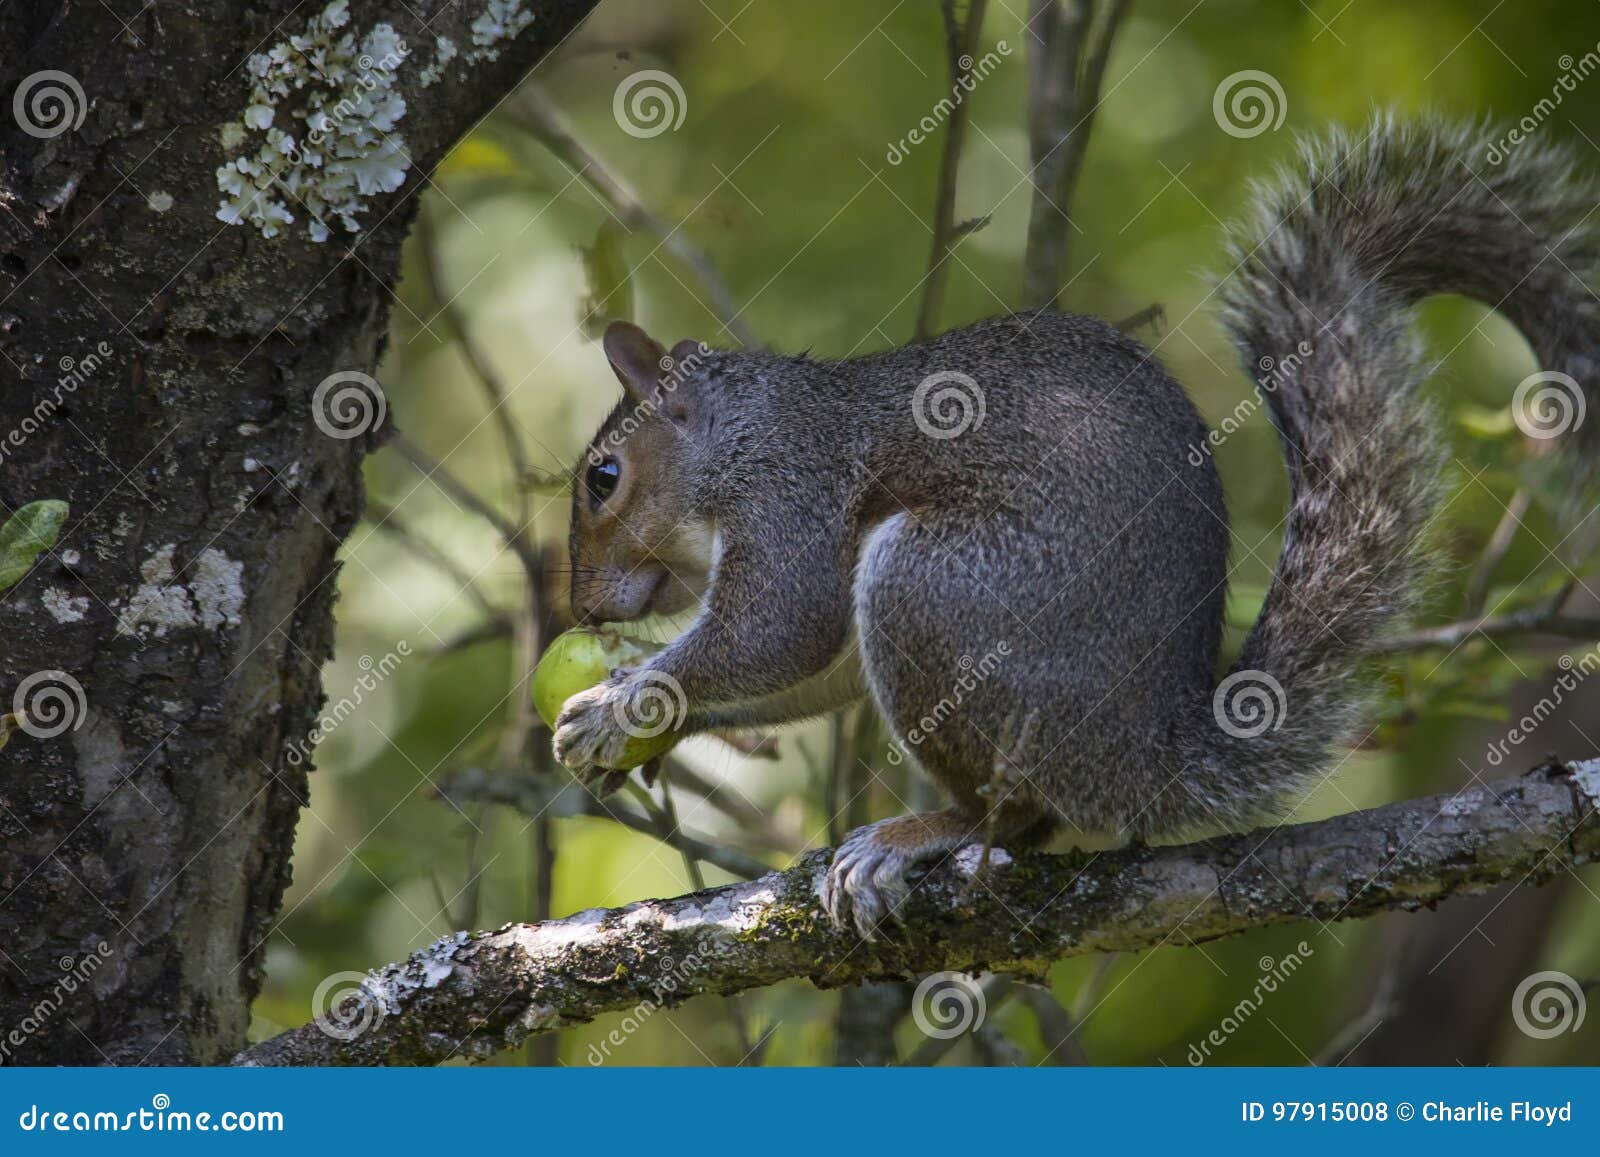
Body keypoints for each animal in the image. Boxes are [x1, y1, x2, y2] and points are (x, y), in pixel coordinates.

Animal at [553, 117, 1600, 937]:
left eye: (604, 478)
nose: (583, 610)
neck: (743, 436)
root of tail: (1147, 760)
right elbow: (814, 669)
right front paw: (621, 713)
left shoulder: (790, 495)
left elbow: (778, 626)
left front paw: (622, 701)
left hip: (933, 589)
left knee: (1017, 818)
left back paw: (914, 837)